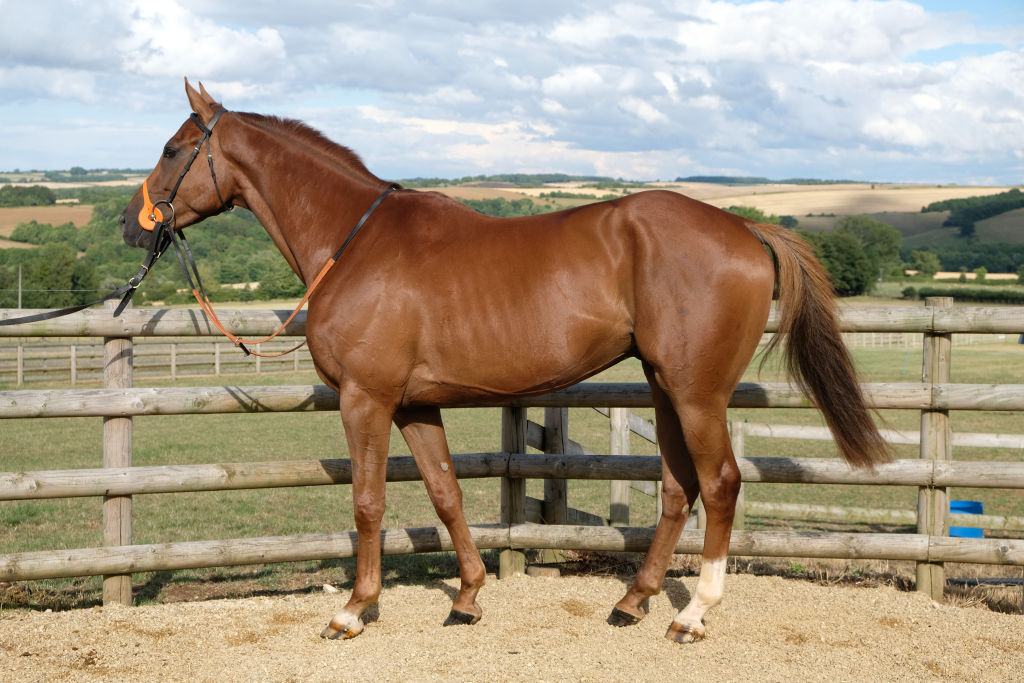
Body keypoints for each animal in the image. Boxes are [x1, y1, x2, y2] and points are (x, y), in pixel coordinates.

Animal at [119, 80, 889, 644]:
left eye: (171, 149)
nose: (131, 224)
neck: (353, 242)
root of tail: (744, 227)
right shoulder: (414, 403)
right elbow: (446, 493)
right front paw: (466, 598)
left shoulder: (366, 398)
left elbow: (368, 502)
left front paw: (353, 610)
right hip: (665, 385)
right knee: (678, 488)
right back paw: (633, 601)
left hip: (699, 391)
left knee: (721, 483)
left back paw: (693, 614)